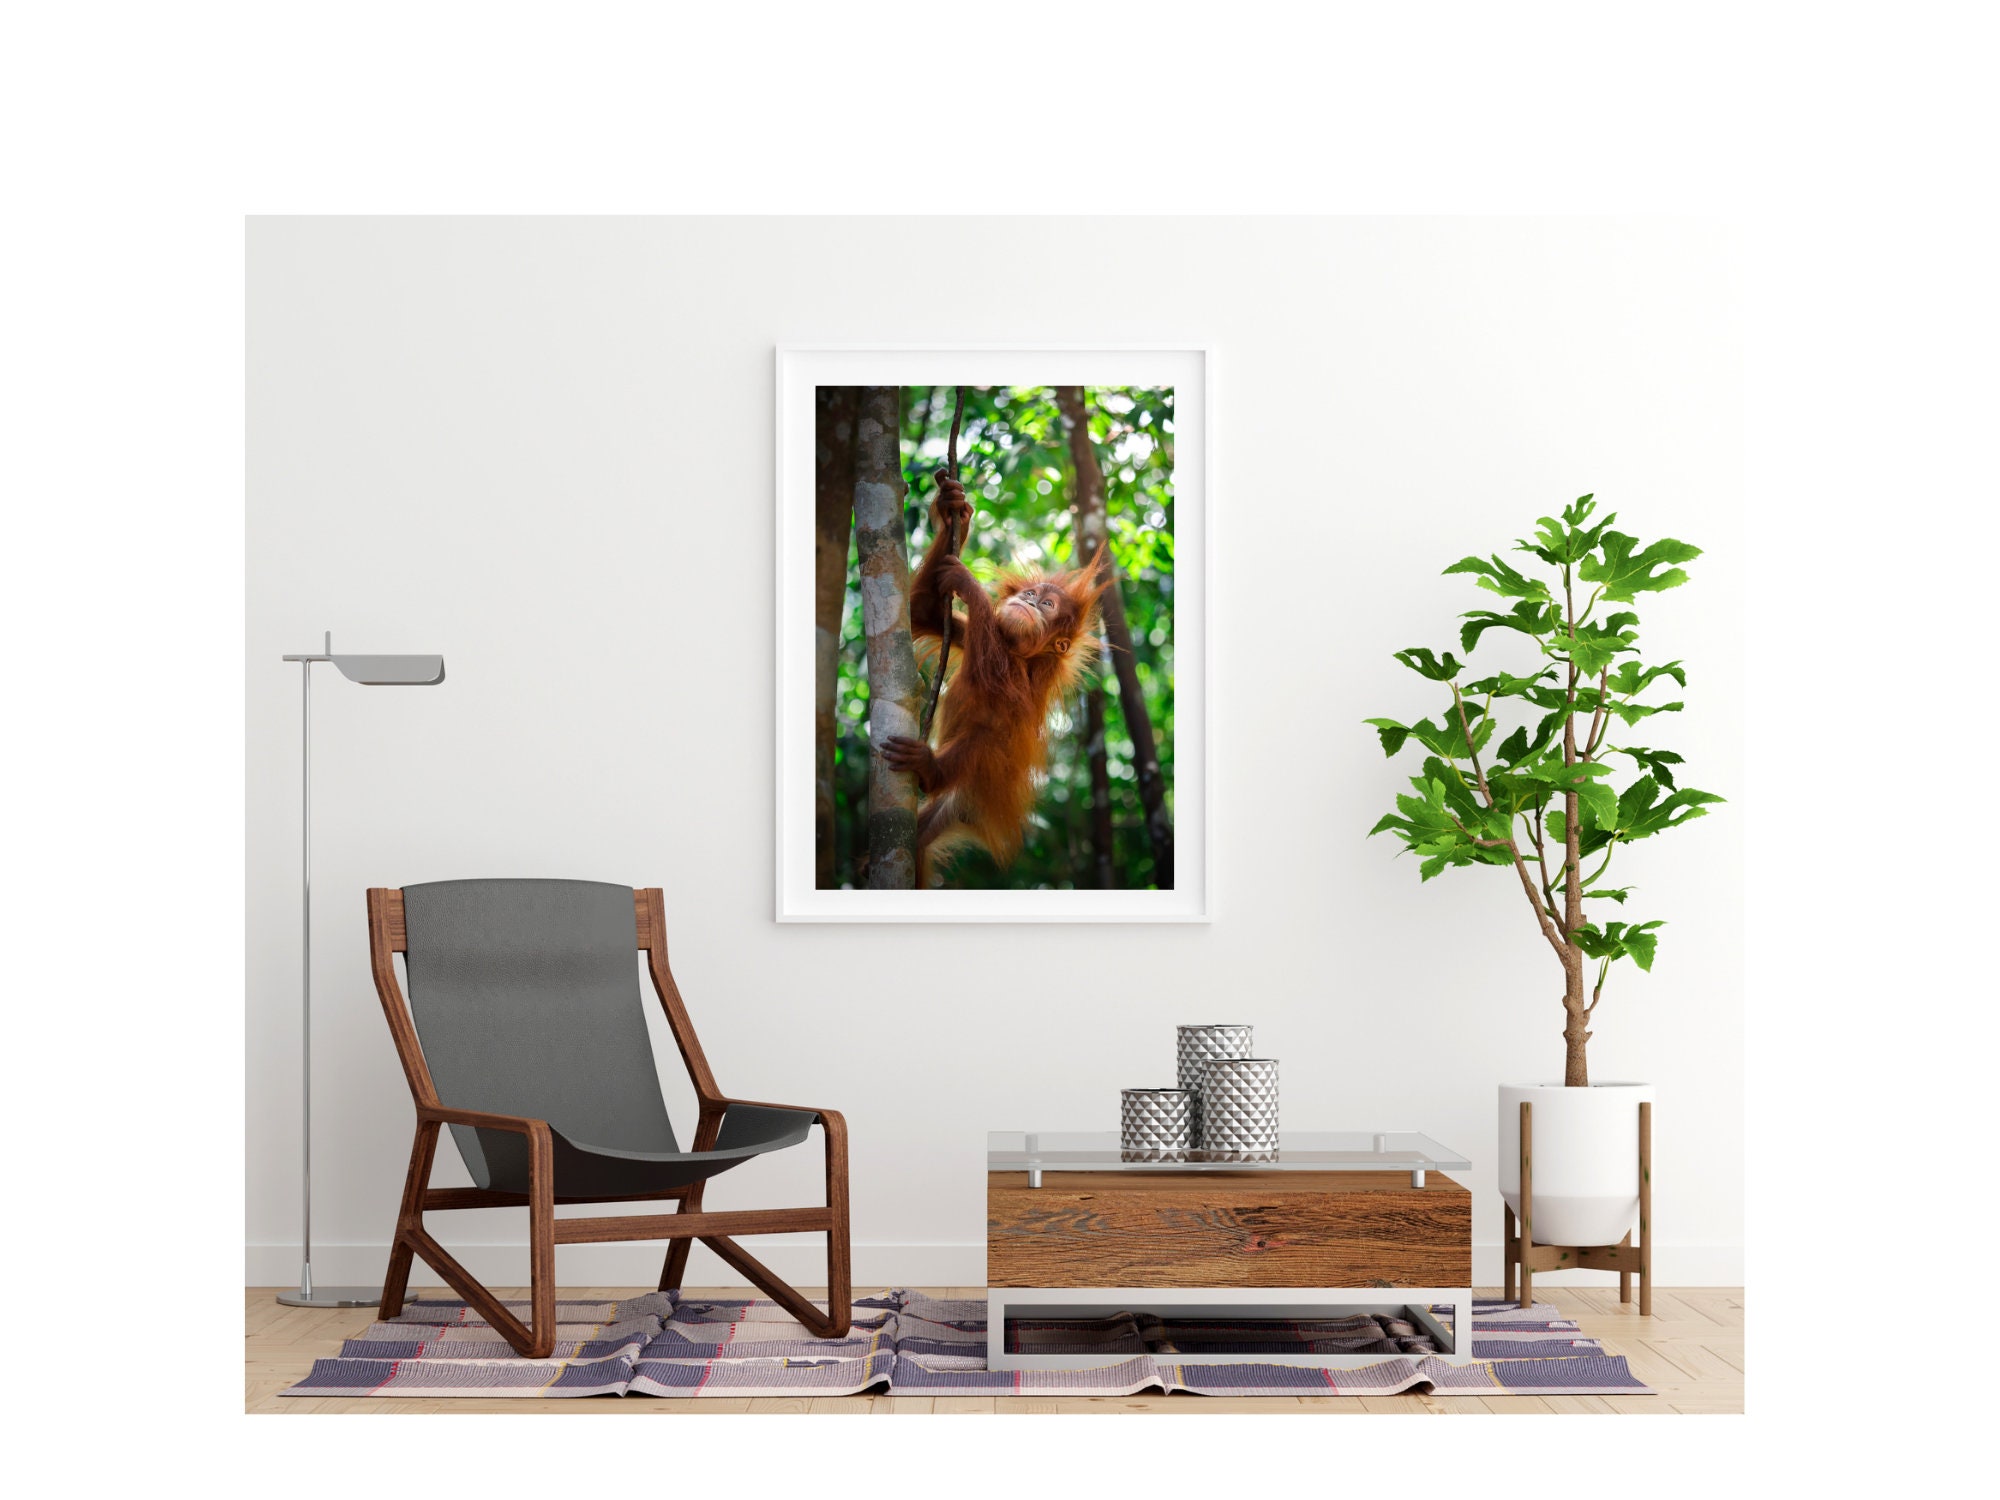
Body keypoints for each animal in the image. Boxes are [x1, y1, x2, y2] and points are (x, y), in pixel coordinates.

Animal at [881, 472, 1112, 888]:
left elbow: (1002, 687)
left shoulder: (1037, 672)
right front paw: (953, 508)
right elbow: (921, 611)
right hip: (953, 807)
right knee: (920, 837)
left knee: (987, 737)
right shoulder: (972, 629)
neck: (1021, 649)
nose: (1030, 601)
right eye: (1031, 593)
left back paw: (930, 770)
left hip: (984, 779)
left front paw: (967, 580)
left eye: (1047, 605)